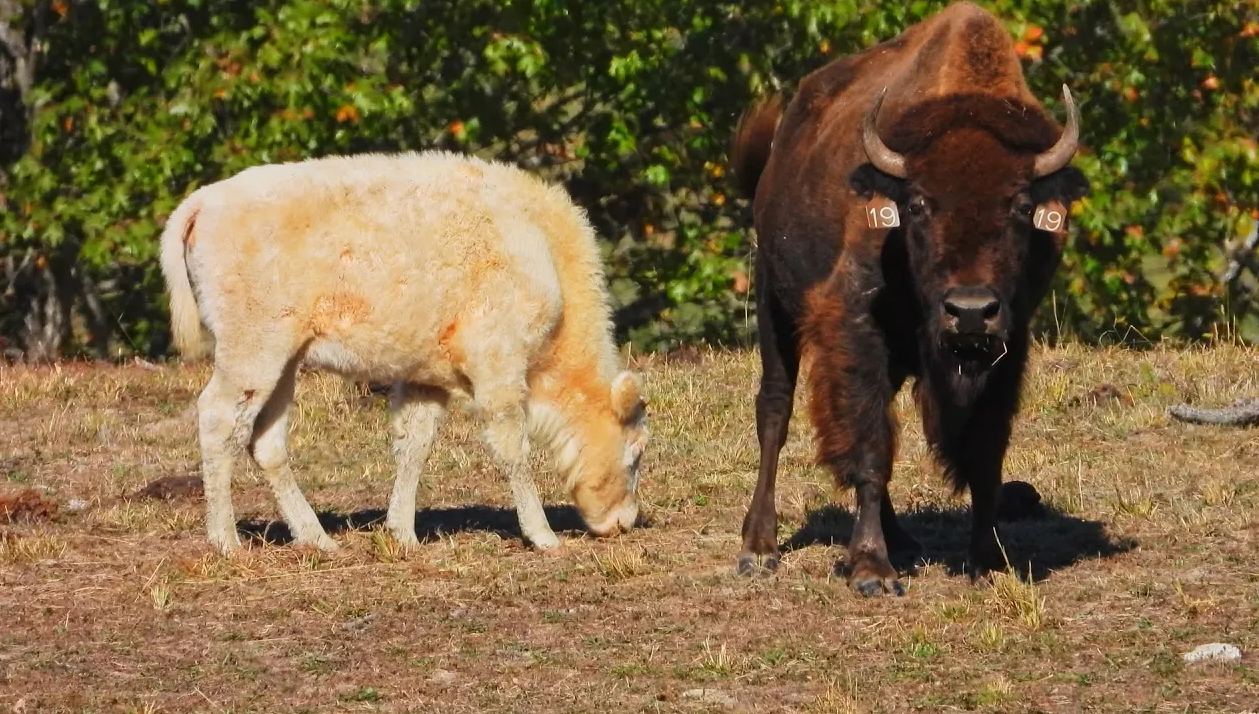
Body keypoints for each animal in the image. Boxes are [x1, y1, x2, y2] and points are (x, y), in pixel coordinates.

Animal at [160, 150, 648, 555]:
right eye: (637, 453)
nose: (625, 521)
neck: (546, 254)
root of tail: (204, 200)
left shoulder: (425, 377)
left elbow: (414, 445)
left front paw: (402, 533)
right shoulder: (499, 366)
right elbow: (513, 449)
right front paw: (543, 535)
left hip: (285, 361)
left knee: (267, 439)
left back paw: (317, 538)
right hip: (252, 351)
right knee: (218, 418)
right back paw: (226, 540)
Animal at [728, 2, 1090, 595]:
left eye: (1020, 205)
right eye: (918, 203)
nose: (970, 311)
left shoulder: (1008, 344)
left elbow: (983, 451)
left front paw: (987, 560)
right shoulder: (858, 329)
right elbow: (871, 449)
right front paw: (872, 571)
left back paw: (900, 538)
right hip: (773, 306)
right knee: (775, 411)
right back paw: (759, 546)